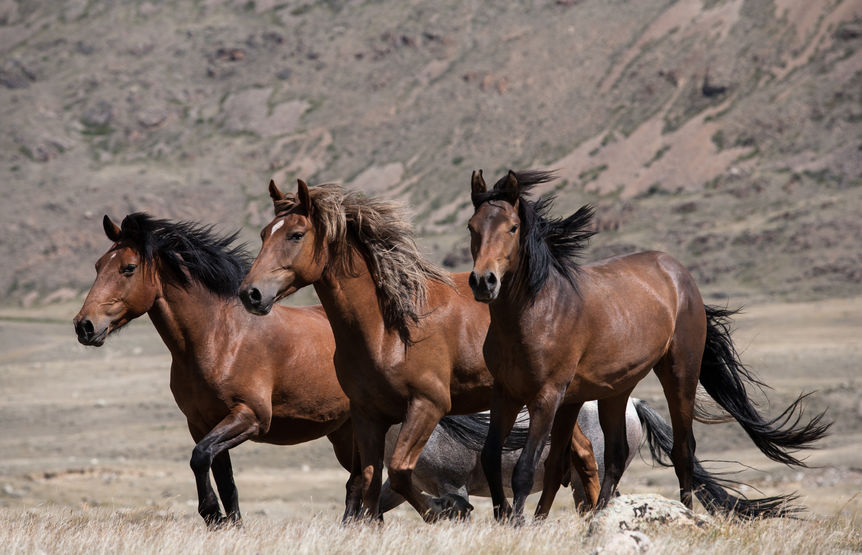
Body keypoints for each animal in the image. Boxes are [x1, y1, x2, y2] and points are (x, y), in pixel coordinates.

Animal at [73, 213, 355, 527]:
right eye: (98, 266)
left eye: (128, 268)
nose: (84, 326)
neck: (220, 337)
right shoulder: (202, 424)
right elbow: (224, 479)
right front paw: (228, 523)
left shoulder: (250, 416)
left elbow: (199, 457)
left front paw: (211, 512)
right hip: (343, 431)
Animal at [238, 180, 603, 521]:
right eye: (264, 234)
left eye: (296, 235)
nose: (250, 293)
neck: (389, 329)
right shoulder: (367, 414)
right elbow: (368, 482)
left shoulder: (428, 404)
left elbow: (400, 472)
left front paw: (447, 508)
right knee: (576, 455)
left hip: (542, 395)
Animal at [466, 169, 830, 523]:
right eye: (472, 226)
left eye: (513, 227)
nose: (484, 281)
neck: (539, 310)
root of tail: (680, 274)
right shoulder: (508, 394)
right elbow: (494, 457)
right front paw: (507, 518)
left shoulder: (546, 397)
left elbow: (525, 469)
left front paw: (517, 524)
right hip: (615, 391)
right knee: (614, 456)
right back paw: (601, 515)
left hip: (679, 375)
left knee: (683, 451)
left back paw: (685, 512)